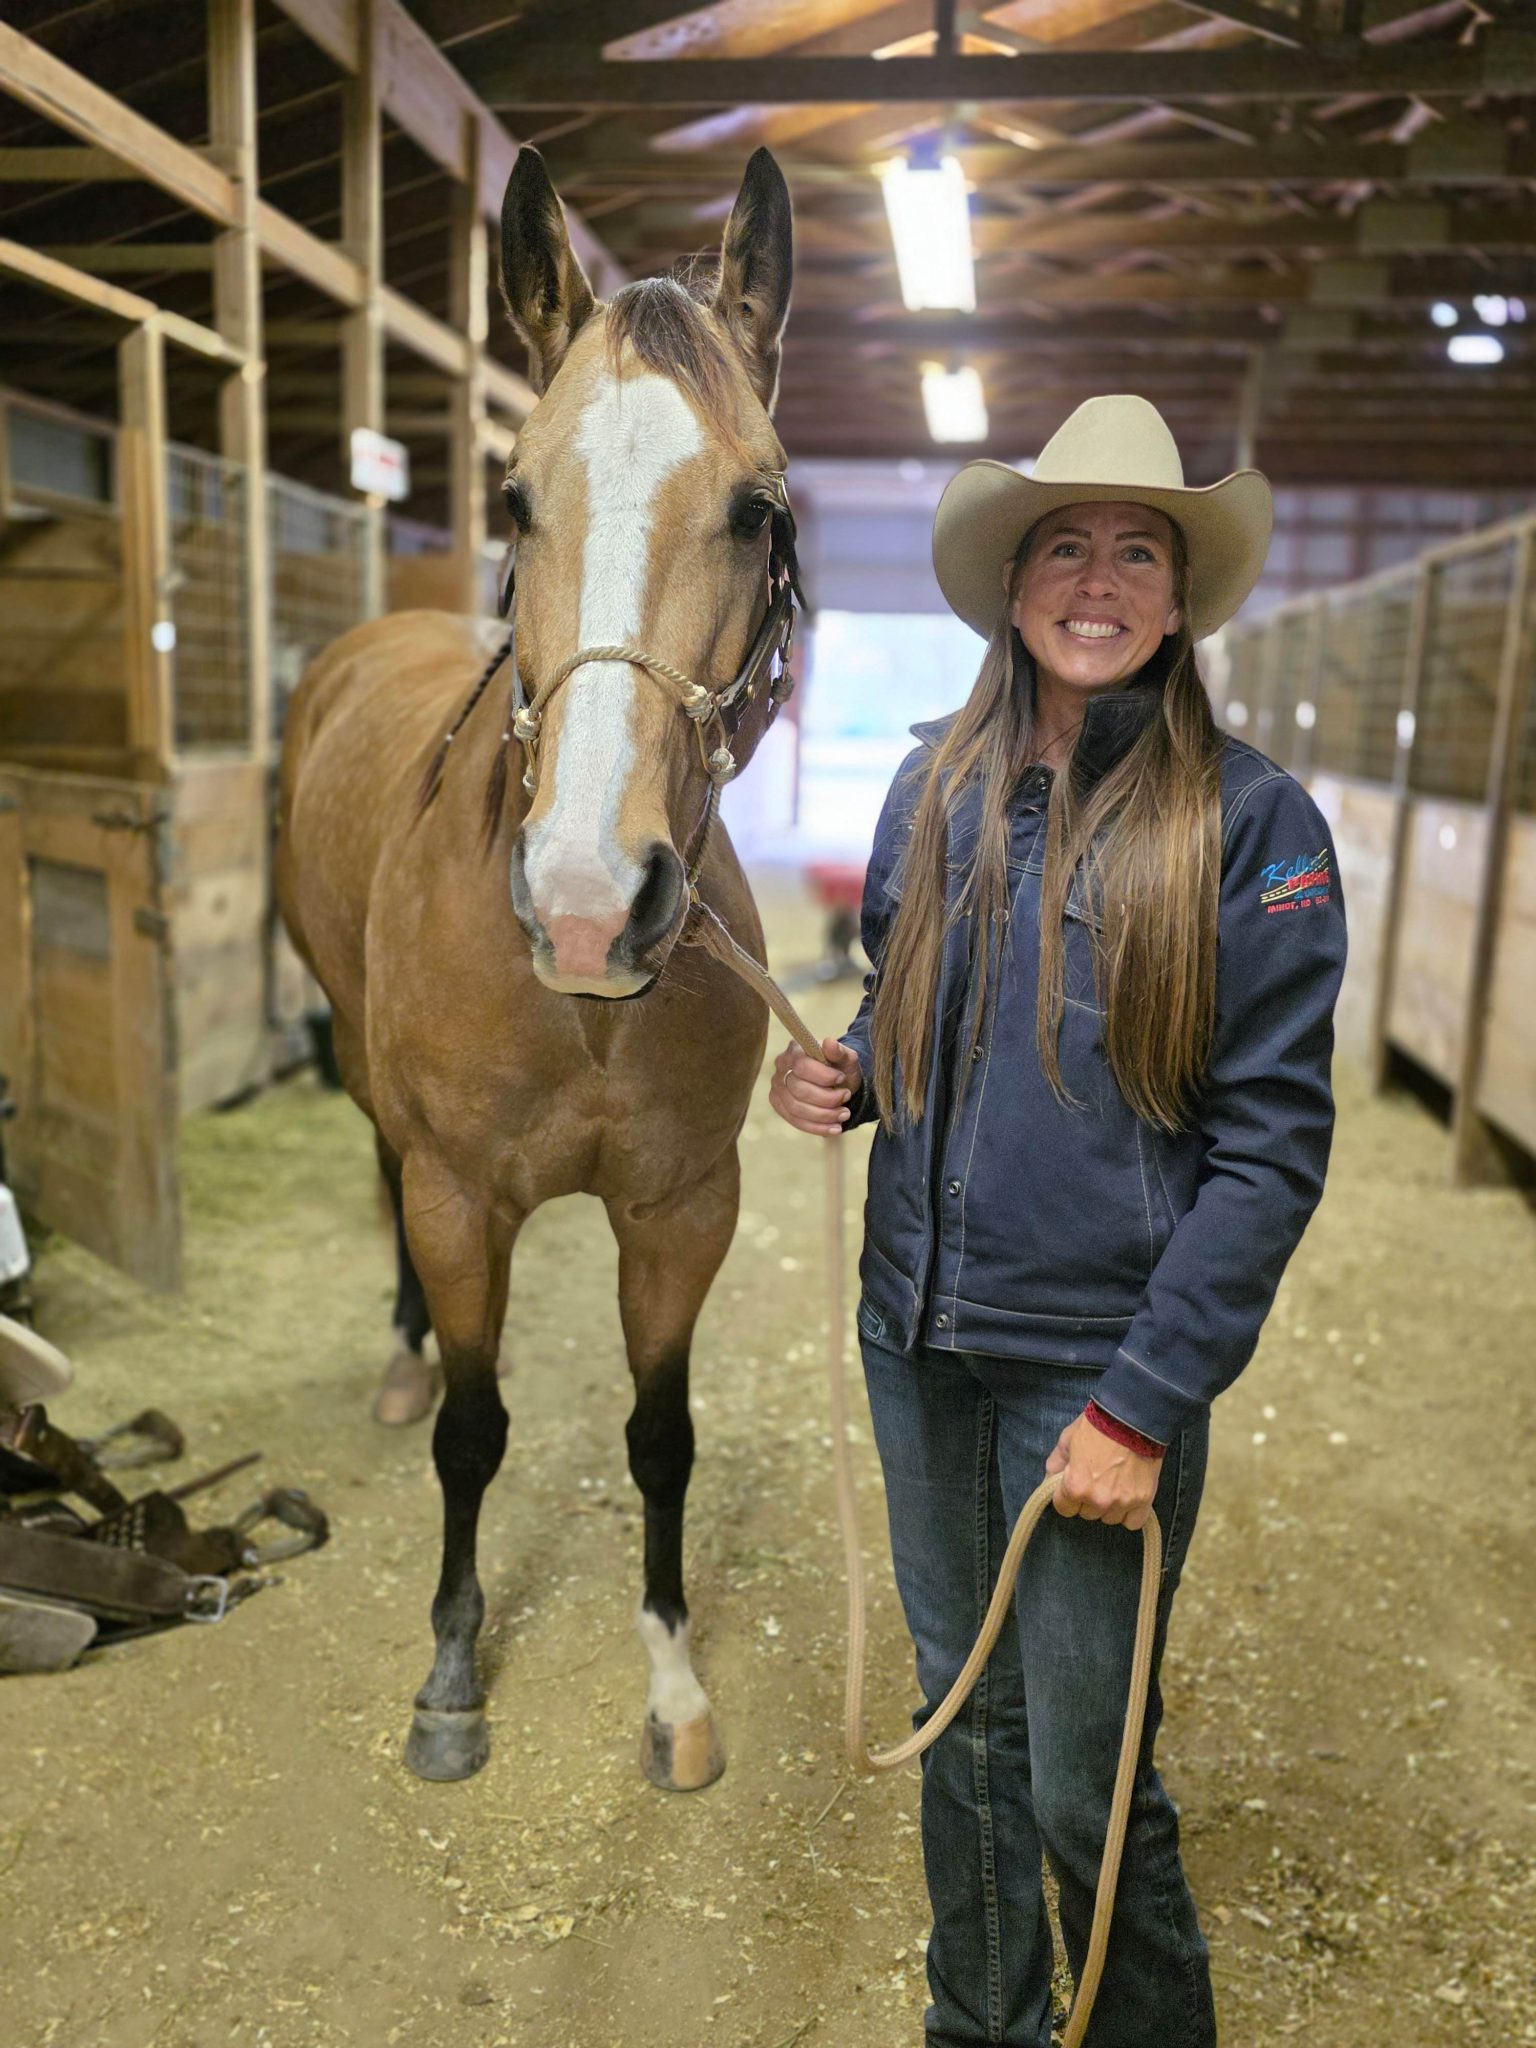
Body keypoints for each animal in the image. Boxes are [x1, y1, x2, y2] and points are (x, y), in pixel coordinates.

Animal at [275, 146, 797, 1789]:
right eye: (513, 493)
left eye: (759, 508)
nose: (586, 900)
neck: (574, 1006)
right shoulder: (461, 1199)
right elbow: (475, 1430)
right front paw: (451, 1676)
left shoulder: (685, 1209)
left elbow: (660, 1436)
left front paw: (673, 1682)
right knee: (381, 1179)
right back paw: (394, 1360)